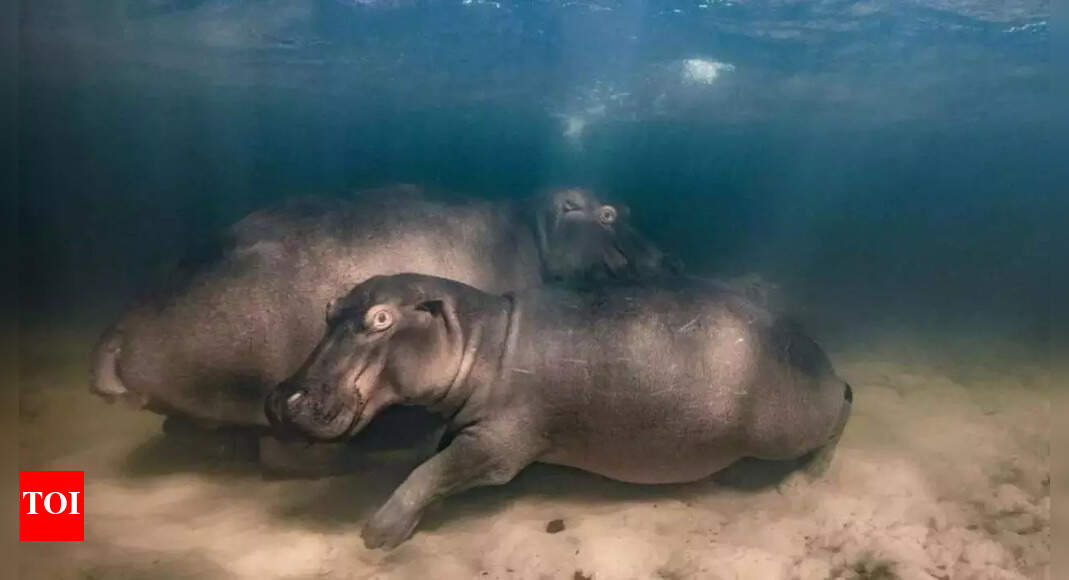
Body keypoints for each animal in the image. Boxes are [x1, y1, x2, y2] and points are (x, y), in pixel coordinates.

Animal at [266, 273, 853, 549]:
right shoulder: (464, 426)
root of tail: (817, 351)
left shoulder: (498, 445)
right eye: (328, 309)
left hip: (790, 427)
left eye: (382, 318)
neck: (482, 338)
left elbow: (431, 471)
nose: (281, 398)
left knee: (842, 409)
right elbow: (433, 460)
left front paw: (378, 533)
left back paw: (803, 481)